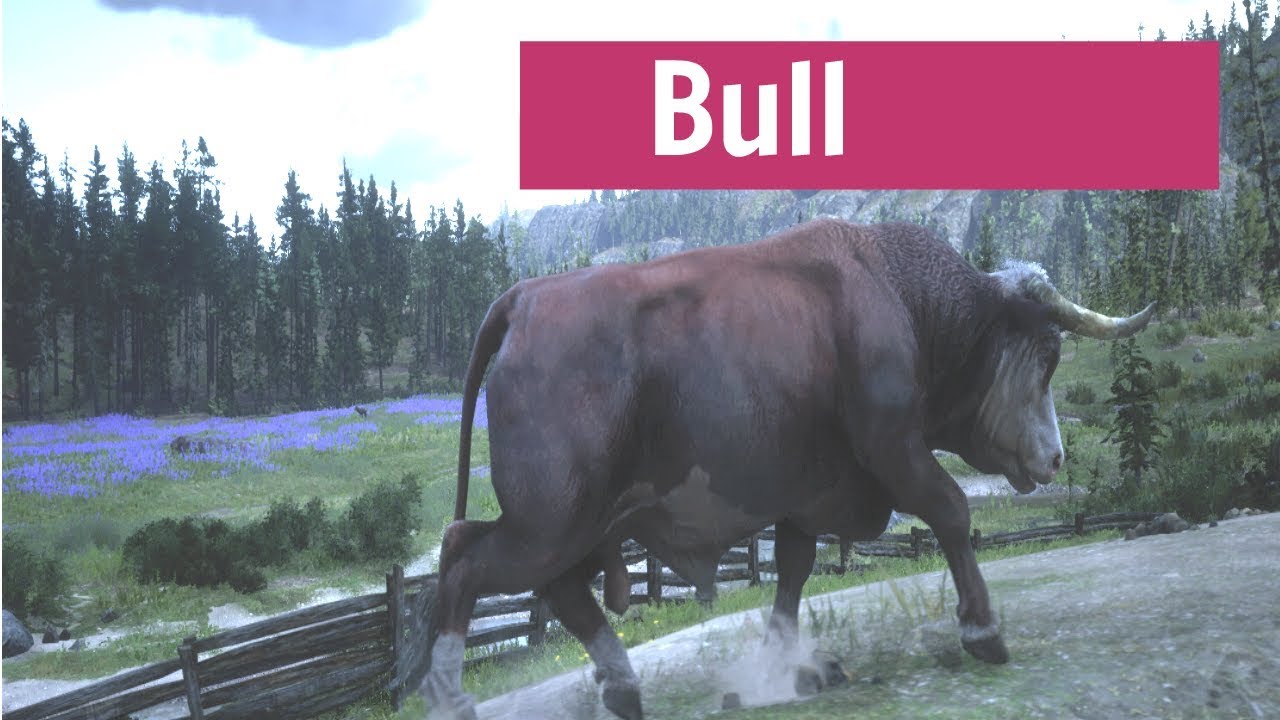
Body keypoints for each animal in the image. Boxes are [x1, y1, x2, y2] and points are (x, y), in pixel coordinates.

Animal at [419, 219, 1154, 719]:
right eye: (1047, 355)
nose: (1055, 457)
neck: (900, 297)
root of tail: (523, 297)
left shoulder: (809, 496)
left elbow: (794, 573)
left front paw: (784, 667)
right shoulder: (895, 450)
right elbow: (951, 509)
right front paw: (983, 631)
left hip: (583, 523)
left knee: (558, 589)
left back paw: (623, 688)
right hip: (551, 520)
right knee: (465, 560)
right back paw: (454, 699)